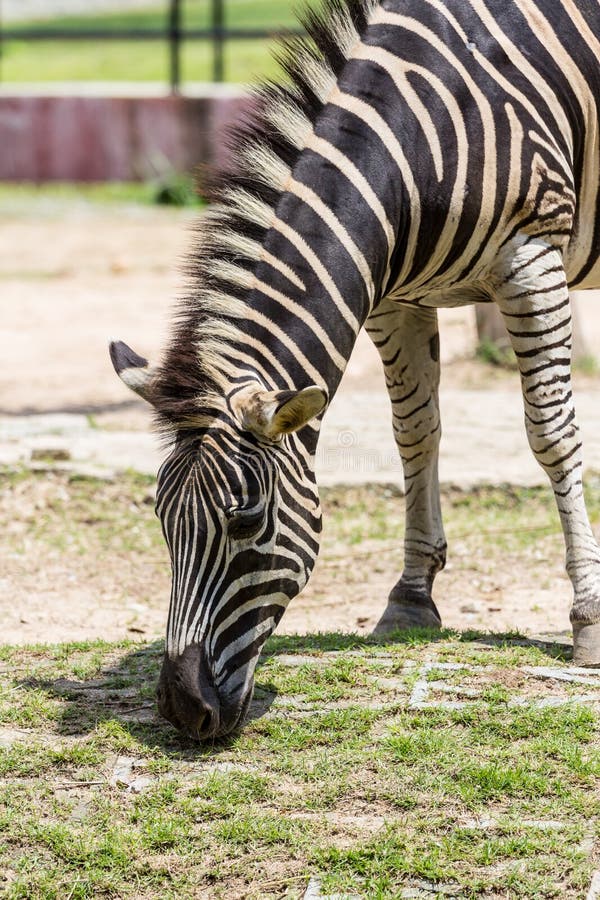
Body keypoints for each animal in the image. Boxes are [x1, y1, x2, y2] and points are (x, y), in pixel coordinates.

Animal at [111, 0, 600, 740]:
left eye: (246, 520)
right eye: (164, 521)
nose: (180, 710)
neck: (416, 142)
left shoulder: (531, 257)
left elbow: (551, 432)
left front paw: (587, 618)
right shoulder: (396, 297)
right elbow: (416, 434)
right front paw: (410, 600)